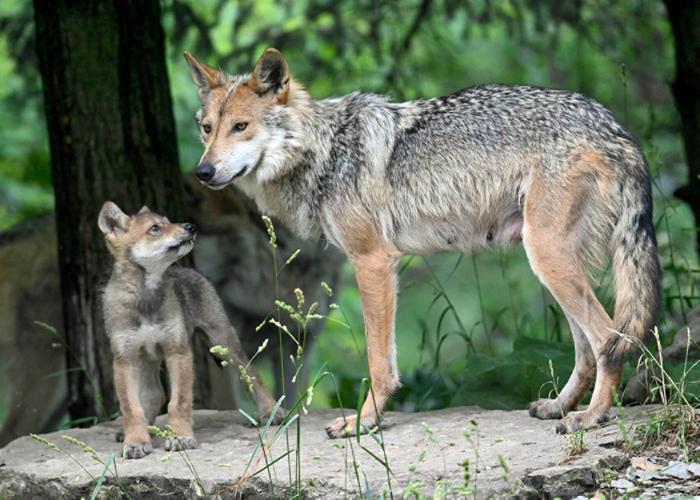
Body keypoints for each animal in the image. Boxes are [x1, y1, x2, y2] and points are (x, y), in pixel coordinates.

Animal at [98, 201, 278, 458]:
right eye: (155, 228)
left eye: (167, 220)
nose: (191, 226)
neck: (147, 297)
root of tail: (187, 269)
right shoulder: (125, 359)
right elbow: (132, 407)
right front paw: (135, 441)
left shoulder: (178, 351)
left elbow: (179, 402)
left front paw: (180, 437)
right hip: (148, 360)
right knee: (154, 395)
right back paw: (146, 429)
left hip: (223, 342)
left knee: (252, 375)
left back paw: (271, 412)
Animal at [184, 48, 661, 437]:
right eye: (207, 129)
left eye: (240, 127)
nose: (202, 172)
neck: (326, 152)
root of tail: (617, 129)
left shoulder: (373, 261)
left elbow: (378, 363)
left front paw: (364, 424)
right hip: (549, 264)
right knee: (587, 349)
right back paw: (559, 407)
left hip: (549, 259)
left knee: (608, 340)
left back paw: (592, 417)